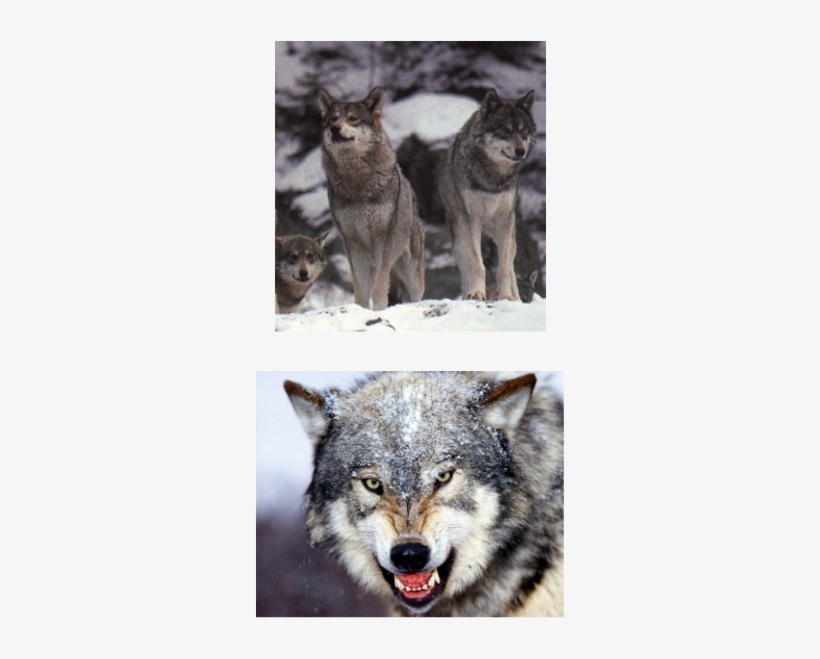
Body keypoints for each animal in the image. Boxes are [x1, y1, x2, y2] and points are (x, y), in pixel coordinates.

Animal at [318, 87, 425, 311]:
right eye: (333, 119)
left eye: (353, 119)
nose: (334, 128)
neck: (357, 179)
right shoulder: (351, 242)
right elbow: (360, 290)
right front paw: (360, 311)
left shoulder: (383, 240)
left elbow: (379, 287)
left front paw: (379, 309)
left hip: (411, 273)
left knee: (415, 297)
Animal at [439, 89, 537, 301]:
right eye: (504, 131)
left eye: (523, 131)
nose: (520, 151)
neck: (494, 177)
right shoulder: (471, 219)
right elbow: (477, 264)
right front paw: (476, 292)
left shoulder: (504, 220)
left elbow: (503, 269)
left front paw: (506, 297)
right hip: (459, 241)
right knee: (466, 268)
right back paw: (468, 294)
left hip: (510, 239)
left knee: (511, 268)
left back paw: (516, 298)